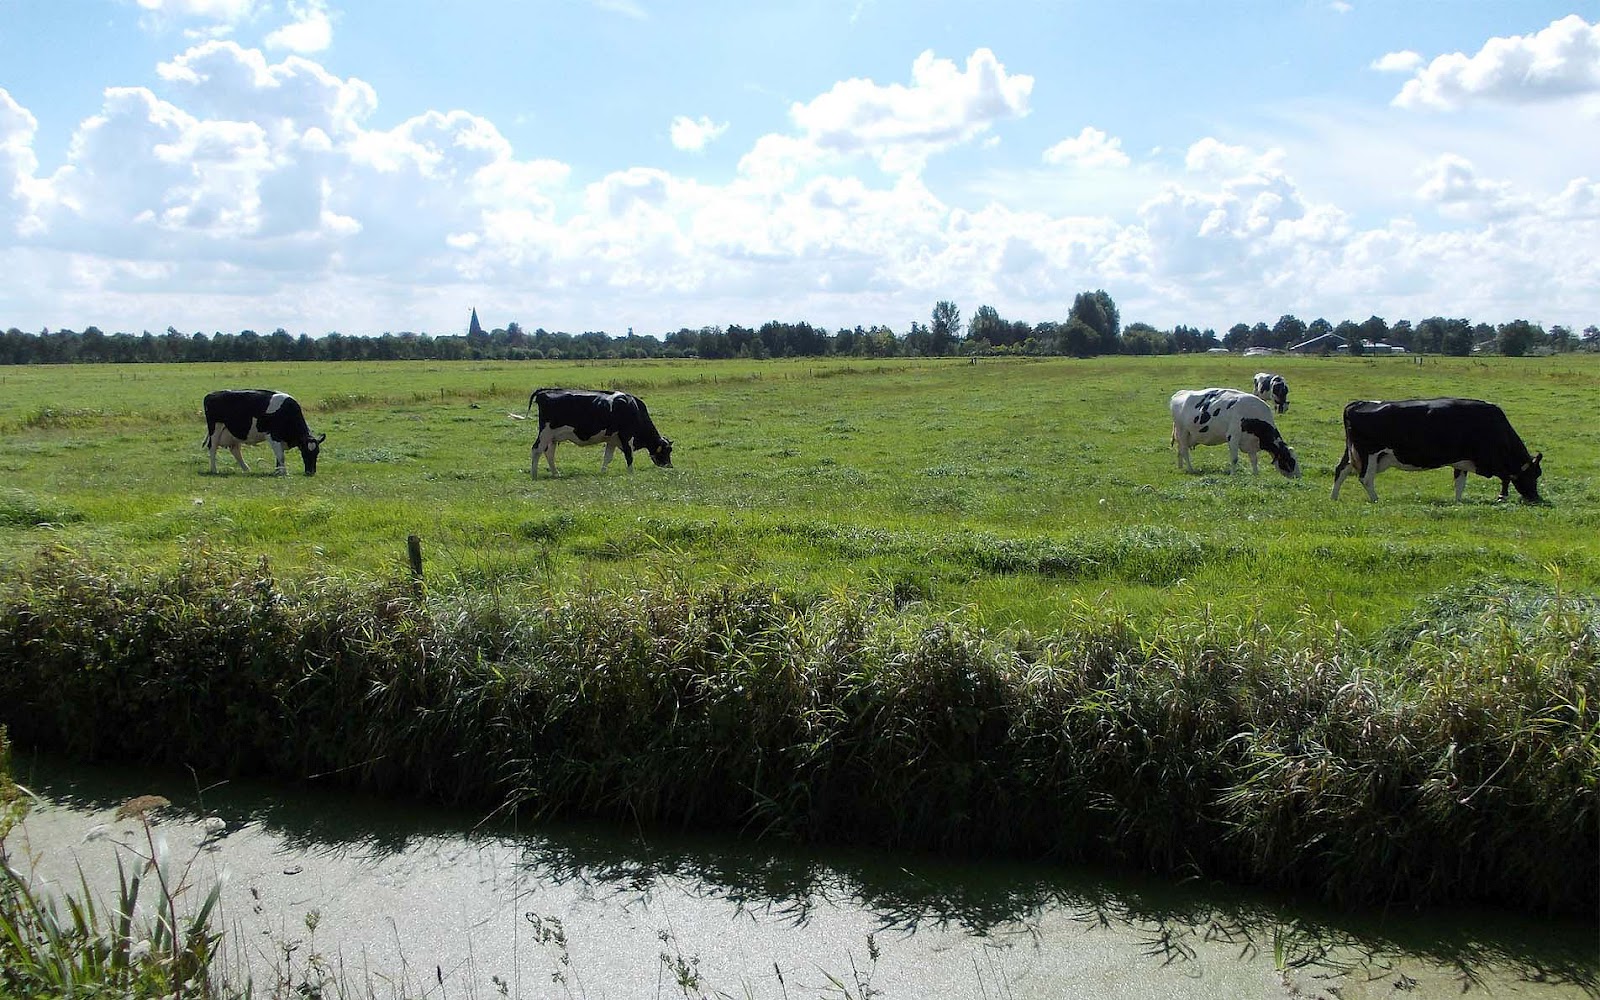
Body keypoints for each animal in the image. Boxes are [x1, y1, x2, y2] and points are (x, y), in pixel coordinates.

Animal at [528, 388, 673, 478]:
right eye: (666, 450)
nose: (670, 466)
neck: (634, 408)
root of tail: (544, 391)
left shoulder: (612, 439)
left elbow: (608, 457)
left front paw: (603, 472)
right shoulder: (626, 436)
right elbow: (629, 456)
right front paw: (631, 473)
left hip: (552, 437)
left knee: (549, 453)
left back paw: (556, 473)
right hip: (545, 433)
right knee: (536, 450)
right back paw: (534, 475)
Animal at [1170, 388, 1301, 478]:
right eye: (1290, 460)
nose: (1298, 476)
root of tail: (1180, 393)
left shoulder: (1251, 442)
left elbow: (1254, 459)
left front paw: (1256, 474)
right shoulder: (1233, 436)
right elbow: (1234, 459)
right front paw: (1233, 475)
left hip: (1185, 435)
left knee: (1179, 449)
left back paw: (1180, 467)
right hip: (1182, 431)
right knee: (1185, 451)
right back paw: (1191, 469)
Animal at [1331, 398, 1542, 502]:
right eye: (1534, 475)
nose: (1536, 498)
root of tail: (1358, 403)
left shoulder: (1462, 461)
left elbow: (1460, 483)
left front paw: (1458, 502)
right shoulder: (1491, 460)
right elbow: (1506, 477)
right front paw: (1501, 497)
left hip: (1352, 452)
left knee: (1340, 470)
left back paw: (1333, 498)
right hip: (1369, 454)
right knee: (1365, 478)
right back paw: (1376, 499)